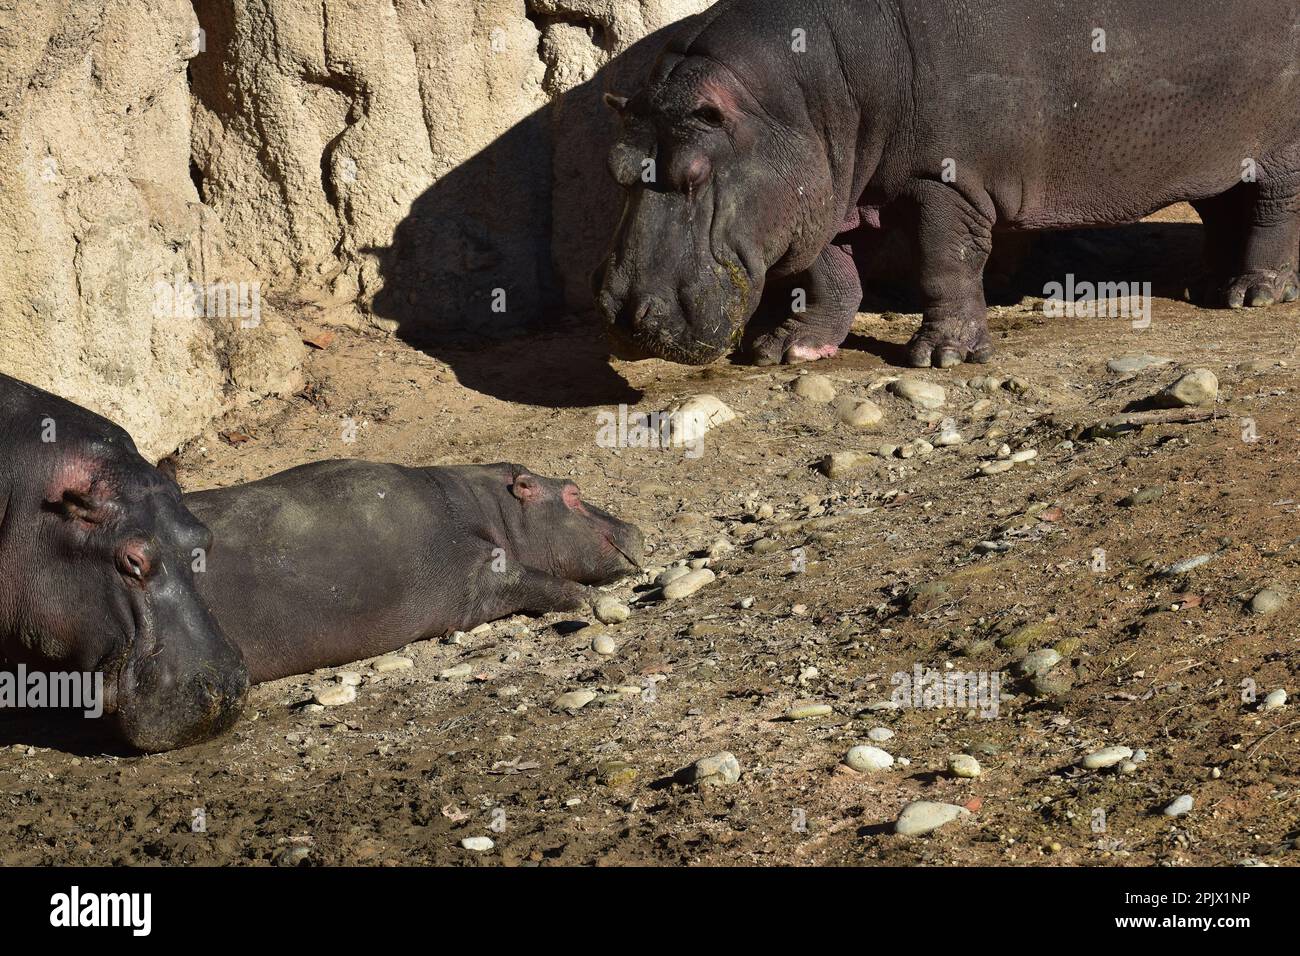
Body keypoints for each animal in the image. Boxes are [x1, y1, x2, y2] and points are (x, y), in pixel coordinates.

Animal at [183, 460, 644, 683]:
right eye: (573, 493)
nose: (635, 528)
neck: (488, 506)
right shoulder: (475, 572)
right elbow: (534, 581)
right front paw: (601, 604)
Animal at [595, 0, 1300, 368]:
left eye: (693, 175)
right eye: (616, 166)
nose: (625, 317)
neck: (793, 99)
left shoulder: (943, 180)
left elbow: (946, 262)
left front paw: (941, 358)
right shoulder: (827, 190)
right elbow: (827, 271)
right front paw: (789, 348)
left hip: (1279, 152)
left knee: (1273, 212)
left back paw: (1252, 294)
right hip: (1217, 153)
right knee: (1225, 212)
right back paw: (1209, 286)